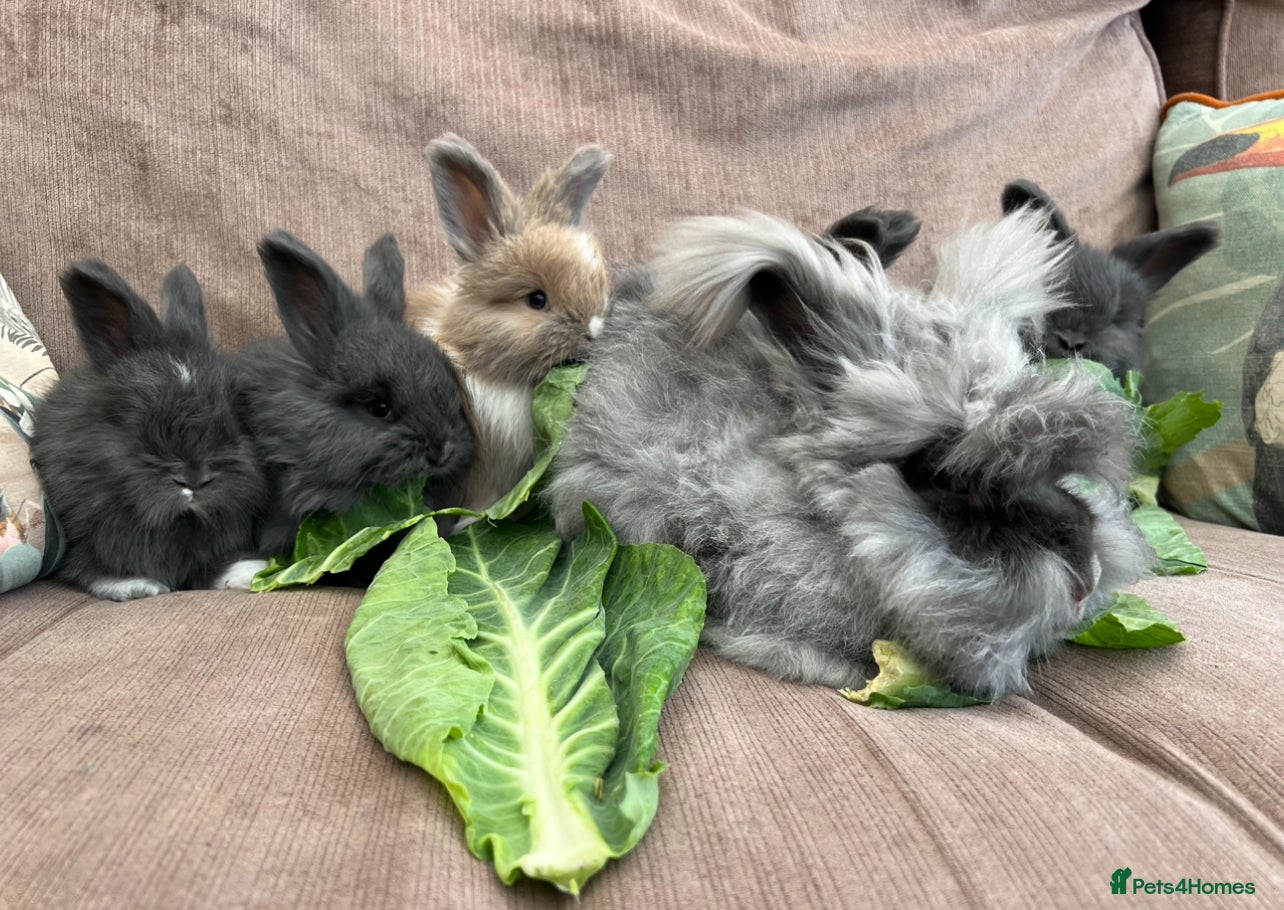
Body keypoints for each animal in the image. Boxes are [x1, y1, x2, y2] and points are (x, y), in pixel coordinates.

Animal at [29, 261, 269, 601]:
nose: (194, 480)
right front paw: (136, 585)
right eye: (136, 420)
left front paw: (245, 573)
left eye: (234, 418)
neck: (177, 523)